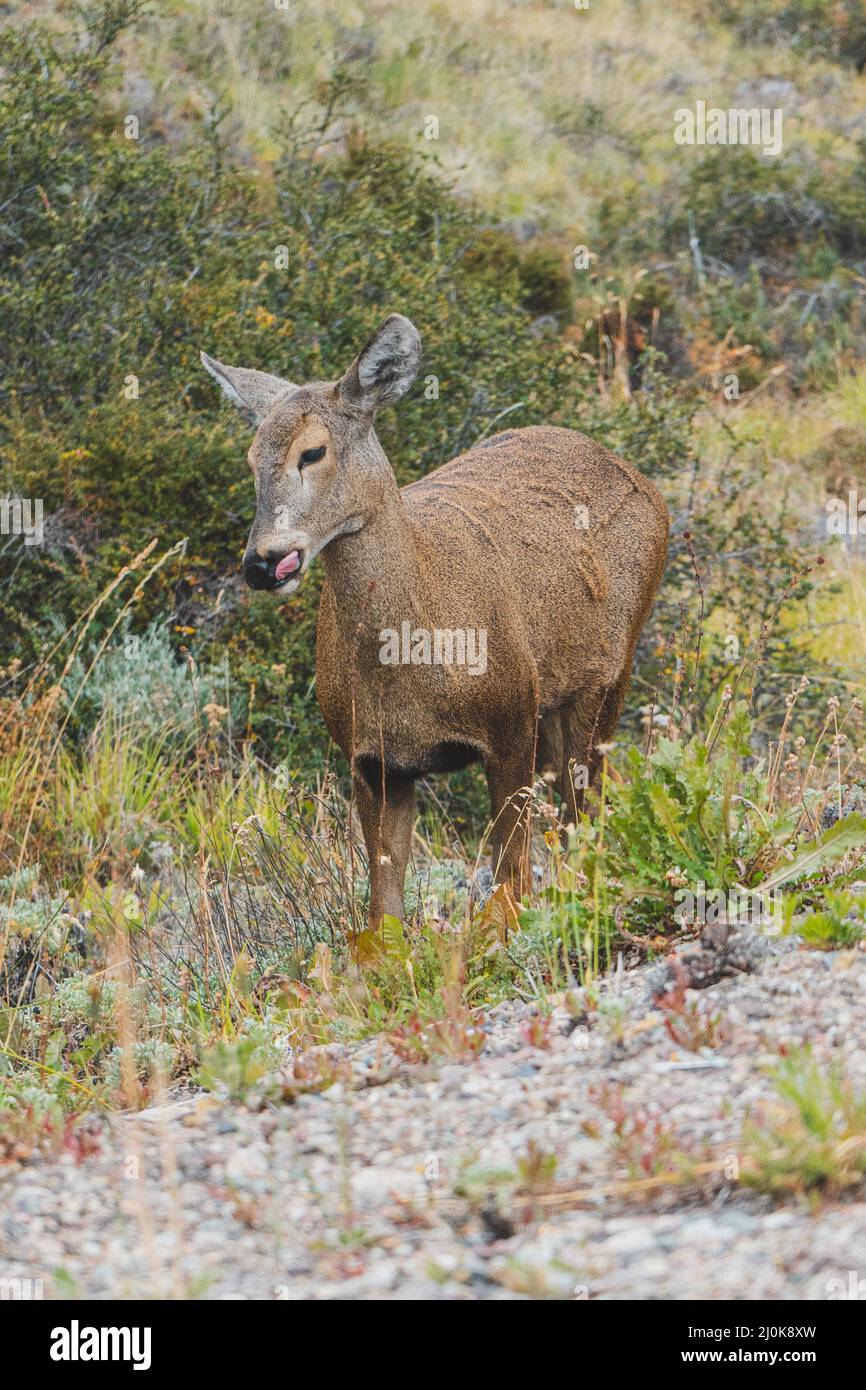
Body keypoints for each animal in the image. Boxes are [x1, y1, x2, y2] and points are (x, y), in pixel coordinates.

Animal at [201, 314, 669, 926]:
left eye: (313, 451)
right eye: (252, 459)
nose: (261, 562)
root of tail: (642, 480)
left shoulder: (509, 725)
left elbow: (511, 883)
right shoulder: (374, 761)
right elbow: (383, 909)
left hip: (607, 678)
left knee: (585, 813)